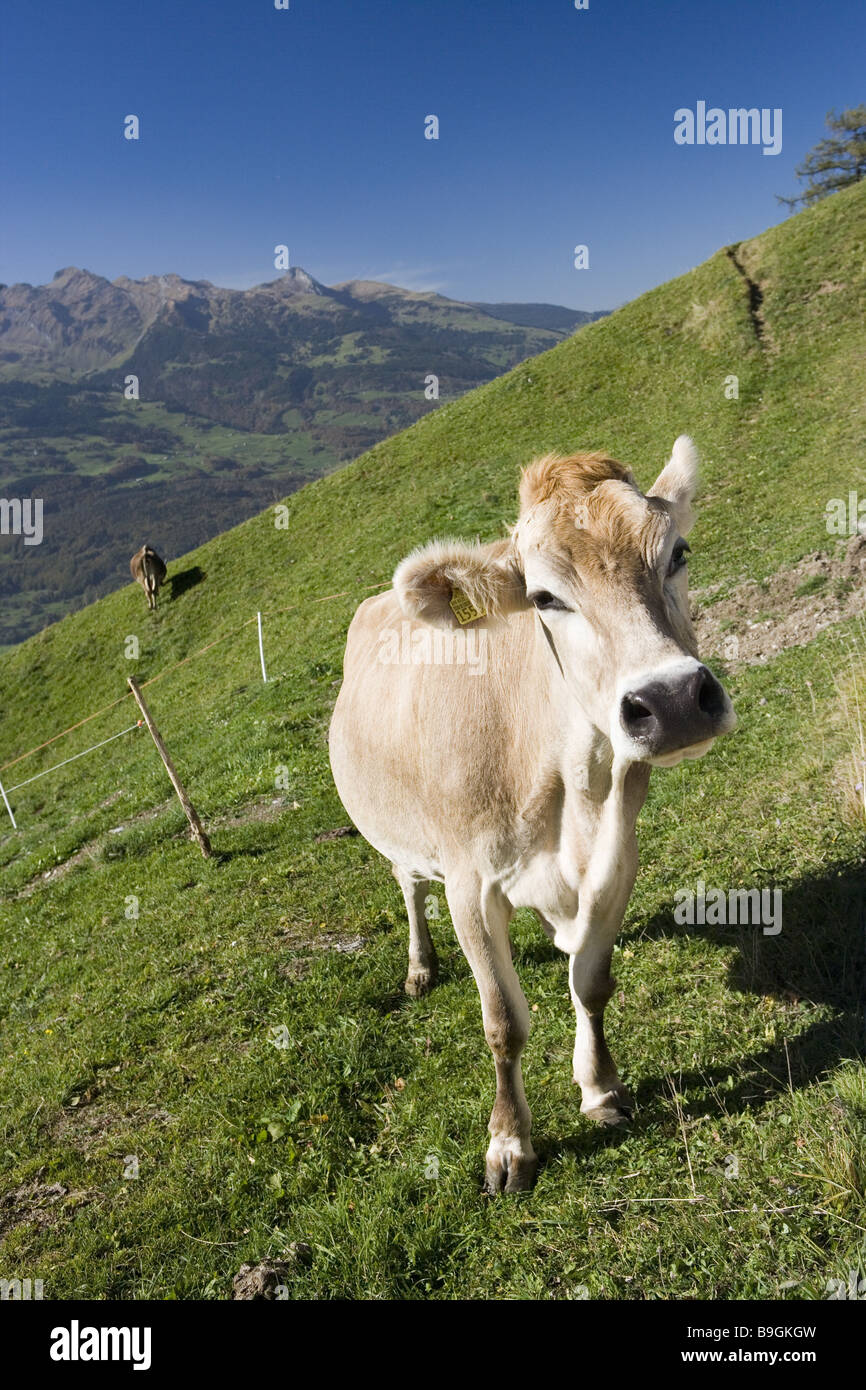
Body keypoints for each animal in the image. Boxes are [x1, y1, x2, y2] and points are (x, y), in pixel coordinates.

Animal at [328, 437, 736, 1192]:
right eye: (546, 598)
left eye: (678, 553)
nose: (671, 702)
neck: (570, 787)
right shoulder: (469, 884)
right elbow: (503, 1022)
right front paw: (509, 1143)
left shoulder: (616, 858)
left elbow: (592, 982)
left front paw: (600, 1088)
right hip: (400, 838)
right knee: (408, 887)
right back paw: (420, 966)